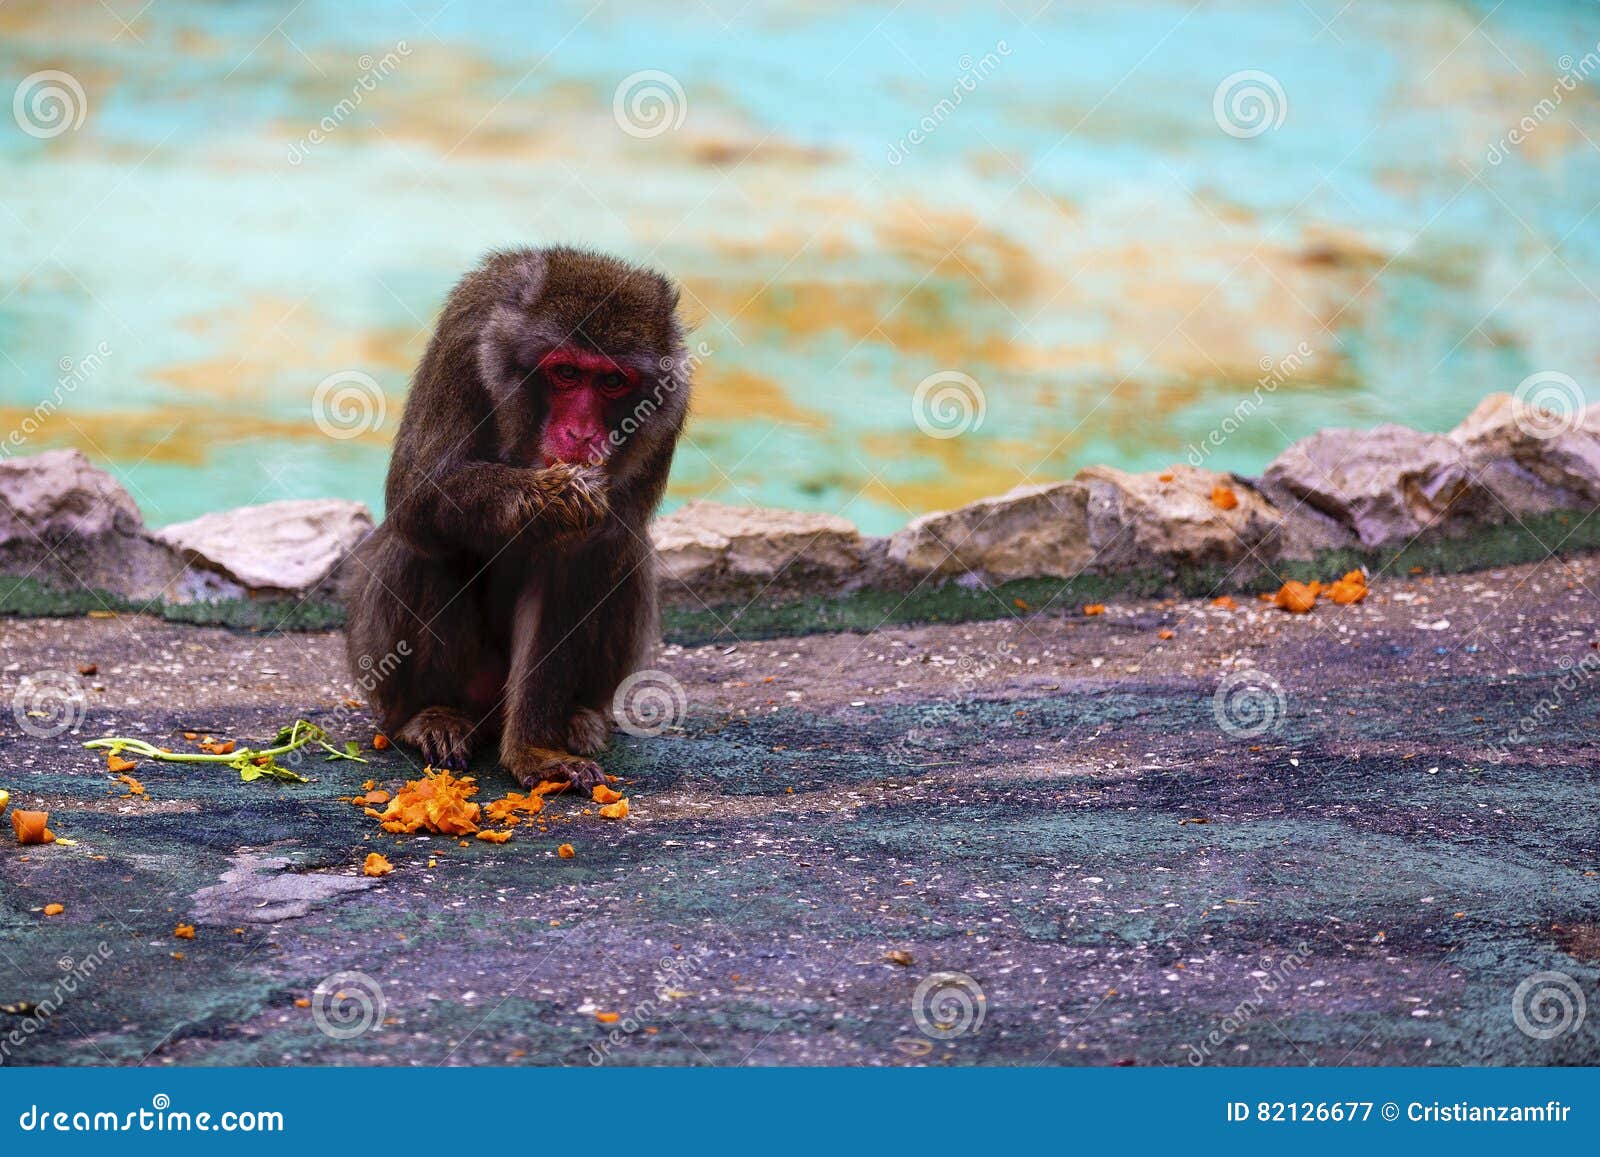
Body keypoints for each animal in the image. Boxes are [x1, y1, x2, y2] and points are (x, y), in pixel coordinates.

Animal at [344, 246, 690, 791]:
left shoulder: (669, 404)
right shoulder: (464, 340)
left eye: (613, 381)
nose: (580, 434)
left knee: (624, 553)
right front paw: (553, 496)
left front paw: (534, 751)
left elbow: (573, 569)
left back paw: (577, 717)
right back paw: (432, 715)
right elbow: (415, 496)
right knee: (425, 548)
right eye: (566, 373)